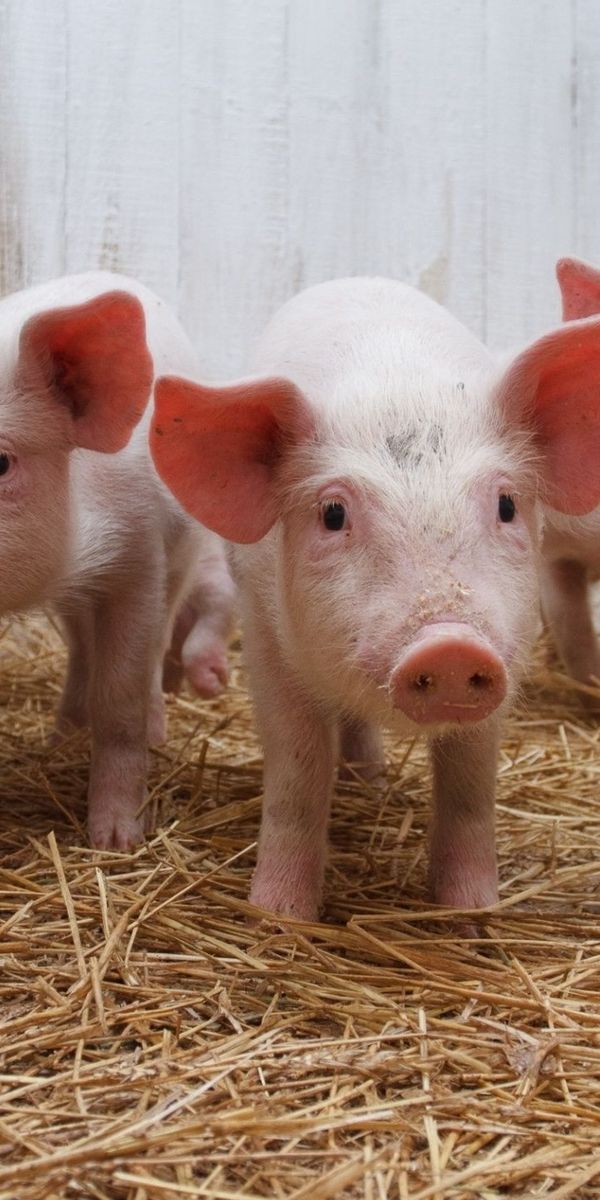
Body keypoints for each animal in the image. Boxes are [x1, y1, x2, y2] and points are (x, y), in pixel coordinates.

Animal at [0, 271, 234, 850]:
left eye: (1, 462)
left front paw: (115, 840)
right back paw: (61, 736)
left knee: (156, 642)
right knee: (82, 649)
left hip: (183, 553)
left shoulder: (138, 554)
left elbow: (120, 698)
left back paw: (154, 731)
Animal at [150, 277, 600, 920]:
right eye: (333, 513)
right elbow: (298, 771)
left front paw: (470, 918)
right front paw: (280, 917)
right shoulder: (265, 640)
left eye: (508, 504)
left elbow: (469, 784)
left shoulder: (506, 655)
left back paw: (372, 780)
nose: (450, 645)